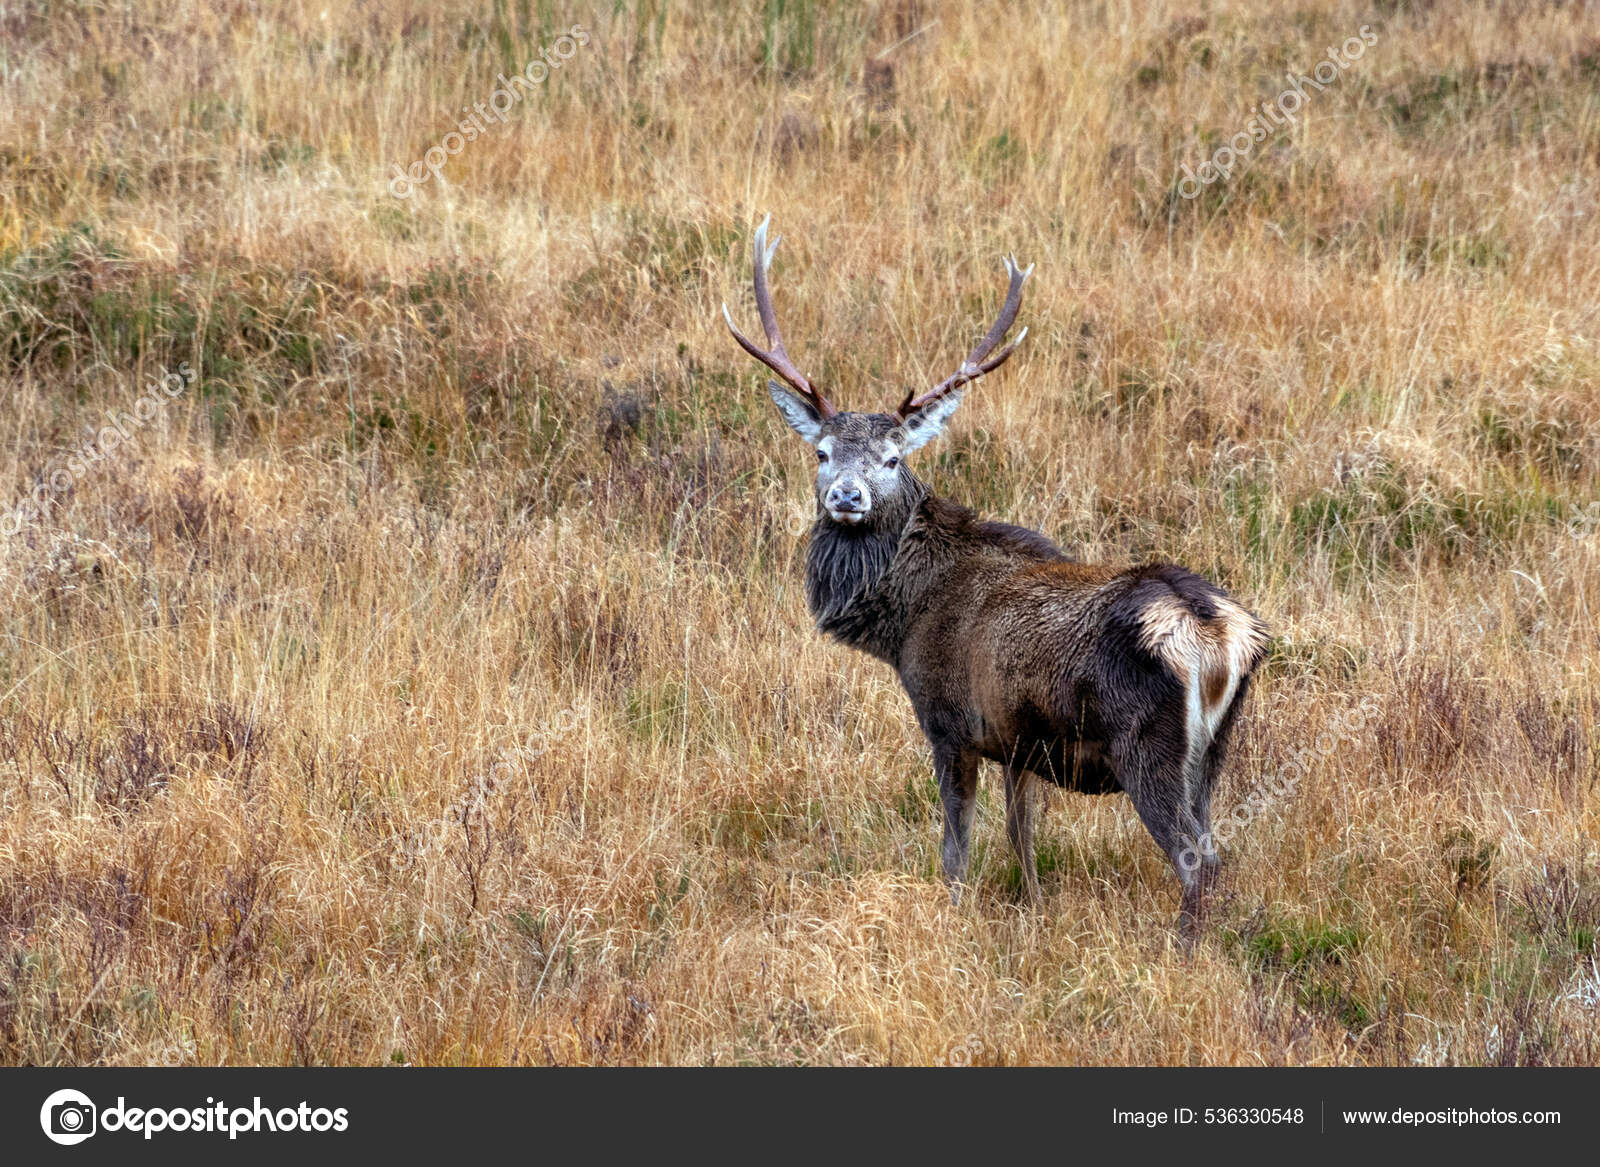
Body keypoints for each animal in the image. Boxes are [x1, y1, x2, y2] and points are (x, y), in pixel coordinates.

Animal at [723, 216, 1270, 937]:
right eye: (821, 452)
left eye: (893, 458)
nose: (846, 495)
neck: (903, 623)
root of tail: (1220, 633)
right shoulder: (1020, 743)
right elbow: (1022, 841)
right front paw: (1035, 914)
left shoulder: (951, 721)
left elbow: (956, 848)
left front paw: (953, 917)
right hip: (1215, 751)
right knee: (1216, 848)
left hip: (1147, 746)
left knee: (1197, 860)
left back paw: (1181, 947)